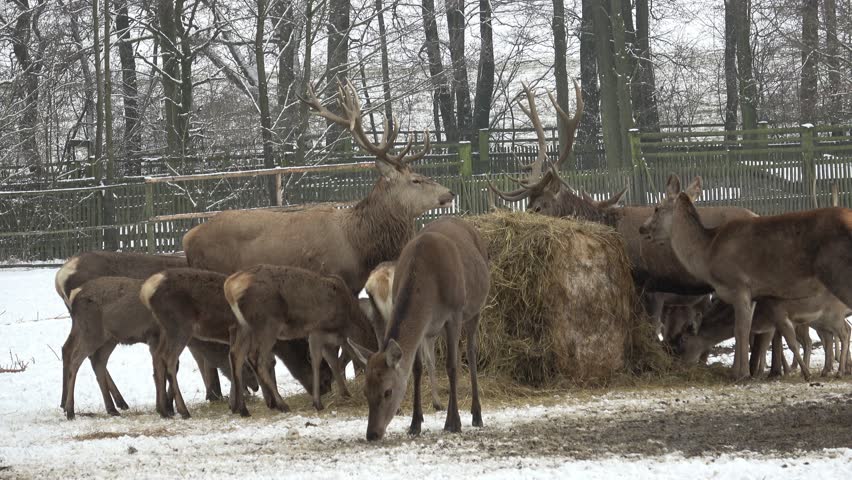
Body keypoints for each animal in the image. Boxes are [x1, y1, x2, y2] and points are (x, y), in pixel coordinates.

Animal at [223, 265, 379, 416]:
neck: (346, 323)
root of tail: (229, 287)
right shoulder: (316, 330)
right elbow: (316, 361)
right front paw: (317, 403)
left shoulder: (330, 338)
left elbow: (333, 362)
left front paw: (346, 394)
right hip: (268, 323)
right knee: (257, 359)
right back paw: (282, 405)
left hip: (245, 326)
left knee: (236, 354)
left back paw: (242, 409)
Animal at [639, 174, 852, 380]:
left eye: (657, 208)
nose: (642, 229)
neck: (707, 254)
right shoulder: (754, 294)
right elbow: (747, 329)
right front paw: (741, 371)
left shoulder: (739, 285)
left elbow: (740, 330)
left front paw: (741, 374)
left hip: (838, 274)